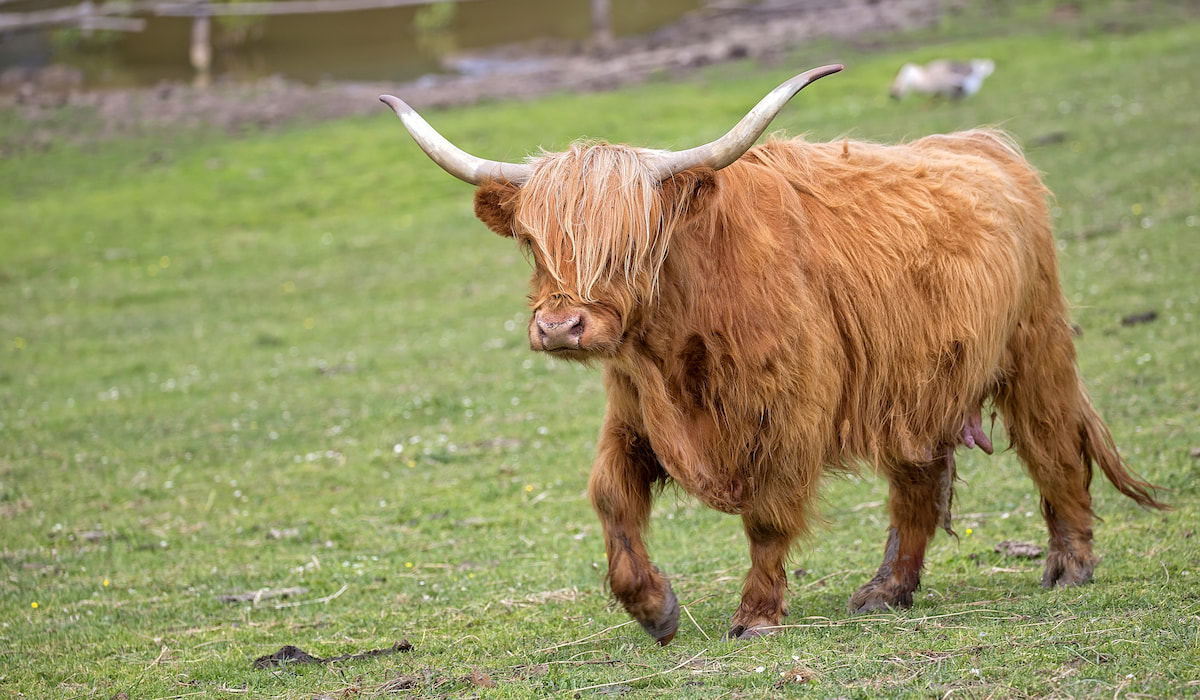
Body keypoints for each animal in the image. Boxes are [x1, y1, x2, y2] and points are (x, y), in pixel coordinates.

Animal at [379, 65, 1166, 644]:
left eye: (635, 242)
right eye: (533, 241)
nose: (562, 326)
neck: (678, 345)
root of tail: (981, 143)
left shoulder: (789, 418)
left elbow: (766, 520)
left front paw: (756, 616)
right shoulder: (632, 416)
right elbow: (611, 498)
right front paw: (654, 609)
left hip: (1035, 348)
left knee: (1053, 445)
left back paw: (1070, 566)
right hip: (917, 385)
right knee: (918, 483)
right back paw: (885, 590)